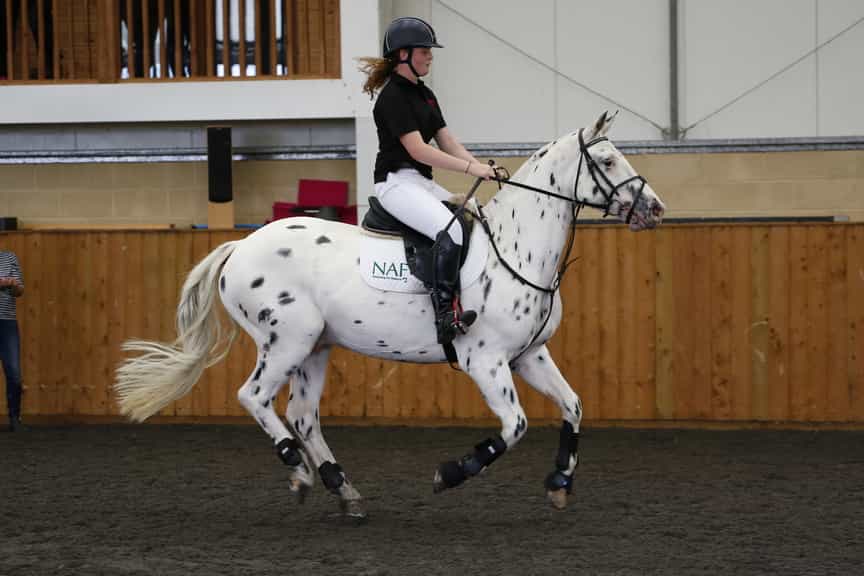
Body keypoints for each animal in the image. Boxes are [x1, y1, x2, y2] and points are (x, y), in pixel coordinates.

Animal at [114, 111, 665, 518]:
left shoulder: (529, 355)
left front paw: (560, 482)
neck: (515, 248)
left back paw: (342, 489)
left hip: (315, 346)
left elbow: (573, 406)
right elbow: (515, 426)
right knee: (254, 397)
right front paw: (451, 472)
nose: (656, 210)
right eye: (608, 160)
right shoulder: (486, 361)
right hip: (288, 340)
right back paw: (298, 471)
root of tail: (239, 246)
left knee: (304, 415)